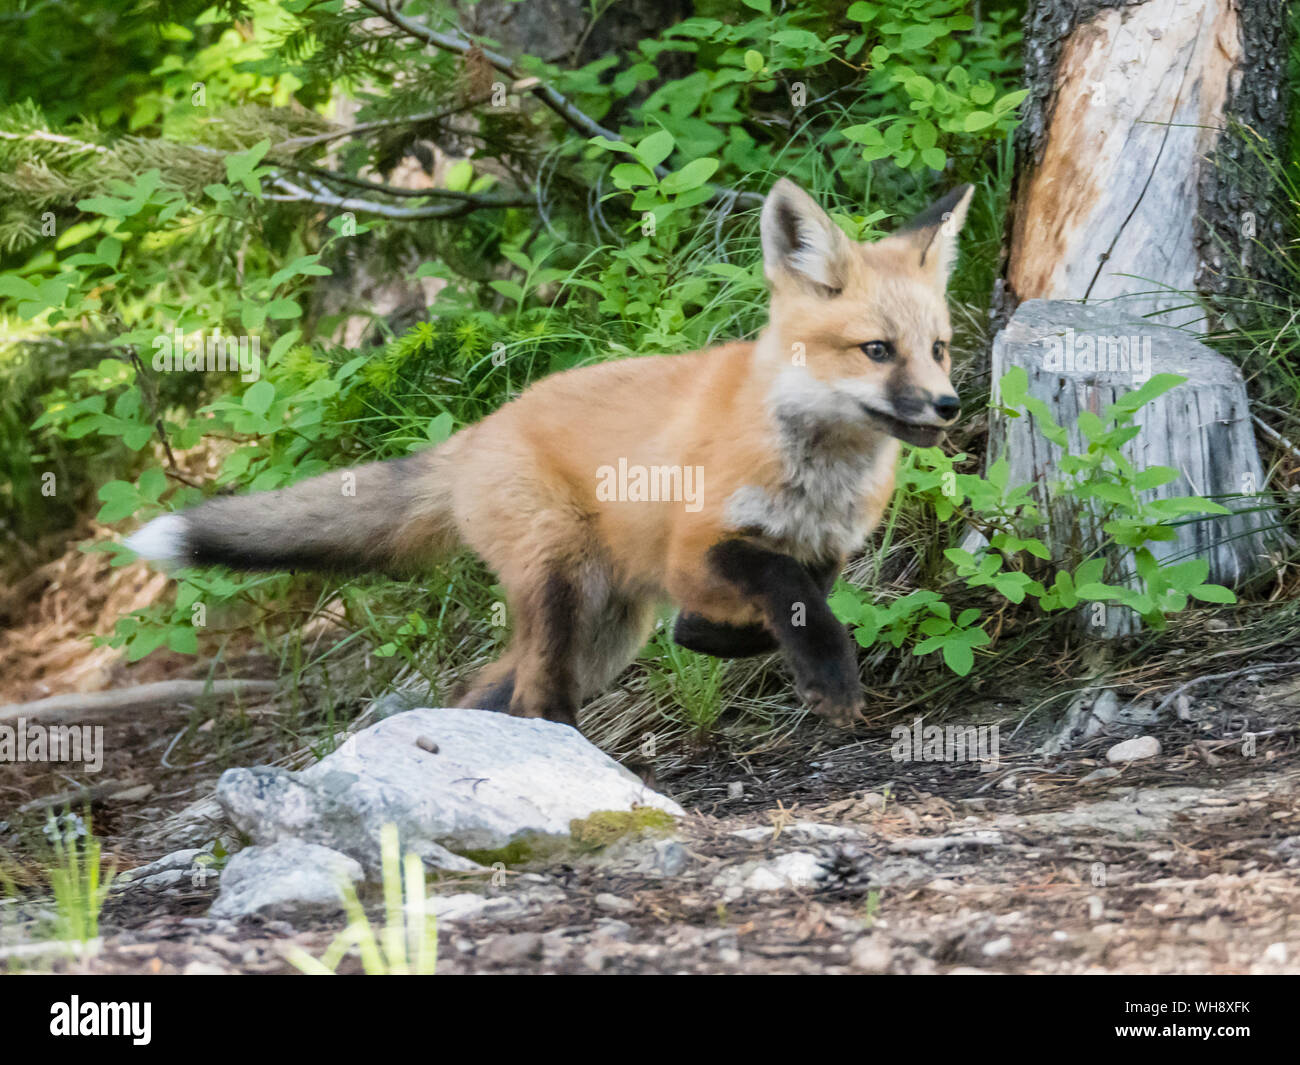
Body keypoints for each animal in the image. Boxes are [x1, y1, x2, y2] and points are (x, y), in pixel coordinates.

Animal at [127, 178, 972, 730]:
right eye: (876, 350)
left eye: (937, 348)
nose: (949, 406)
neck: (815, 472)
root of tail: (479, 430)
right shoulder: (694, 547)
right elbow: (785, 590)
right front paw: (826, 674)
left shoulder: (824, 550)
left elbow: (786, 605)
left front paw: (720, 639)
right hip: (560, 587)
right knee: (537, 699)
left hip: (606, 632)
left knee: (484, 699)